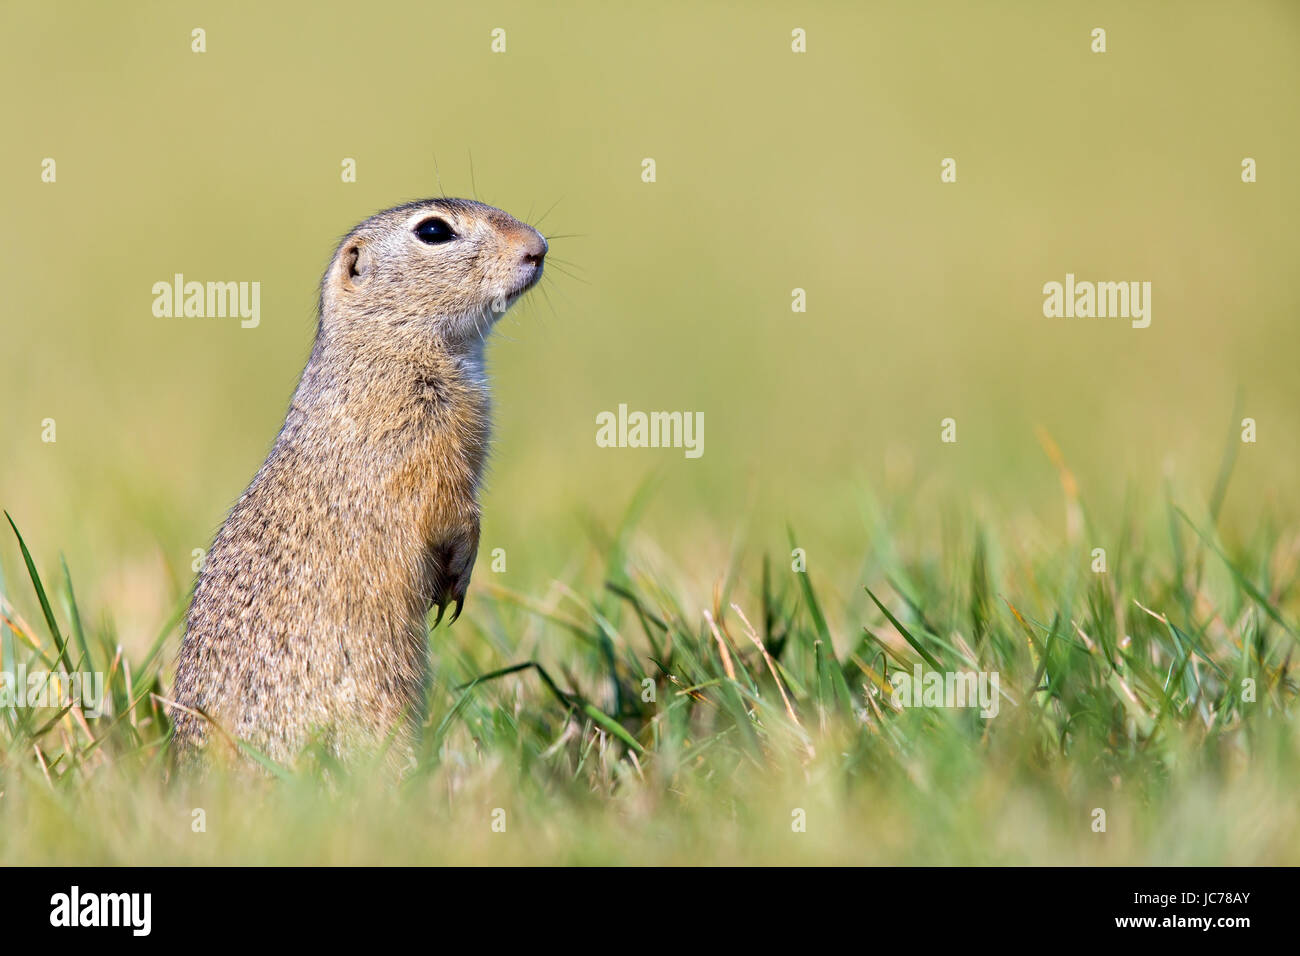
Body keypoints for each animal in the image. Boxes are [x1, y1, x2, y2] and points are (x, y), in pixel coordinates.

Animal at [170, 198, 547, 770]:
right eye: (433, 231)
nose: (538, 247)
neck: (387, 342)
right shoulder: (419, 447)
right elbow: (449, 507)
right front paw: (460, 571)